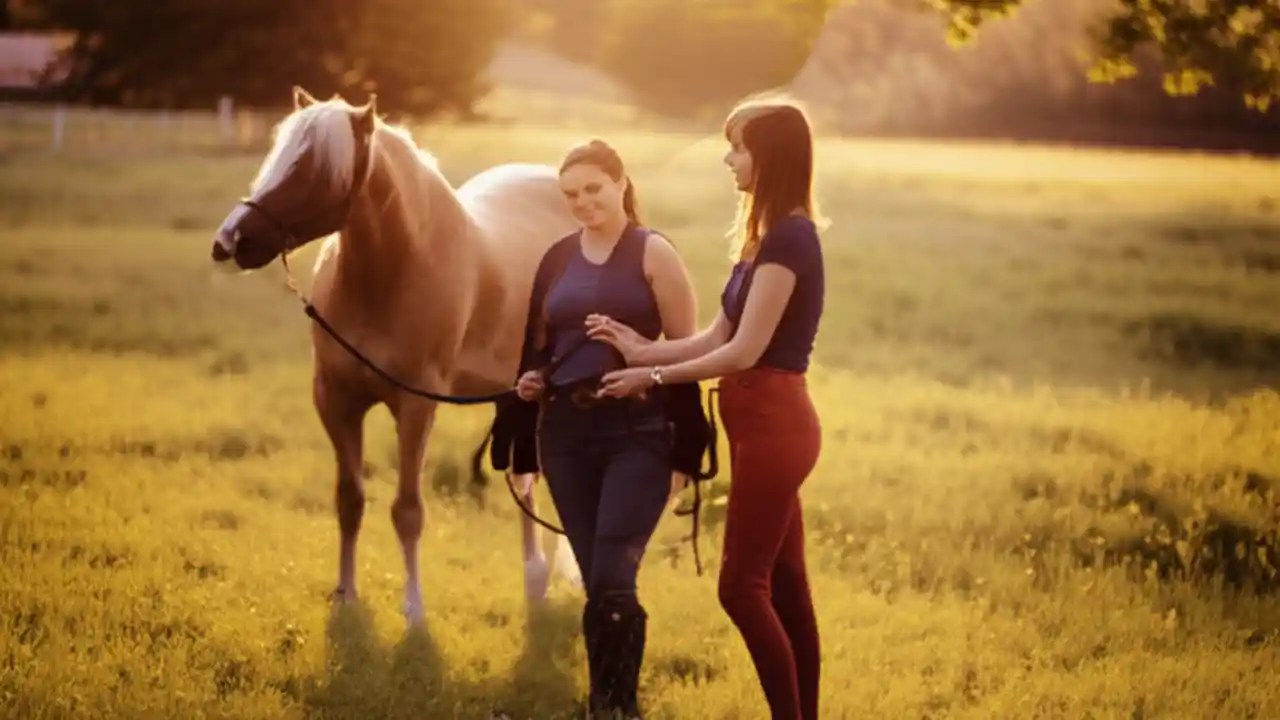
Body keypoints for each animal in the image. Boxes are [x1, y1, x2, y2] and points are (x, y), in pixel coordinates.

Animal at [210, 87, 580, 623]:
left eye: (309, 166)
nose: (228, 241)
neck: (392, 271)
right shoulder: (336, 400)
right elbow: (349, 500)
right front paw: (345, 595)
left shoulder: (415, 406)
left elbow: (408, 510)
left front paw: (414, 608)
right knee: (525, 478)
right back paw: (535, 580)